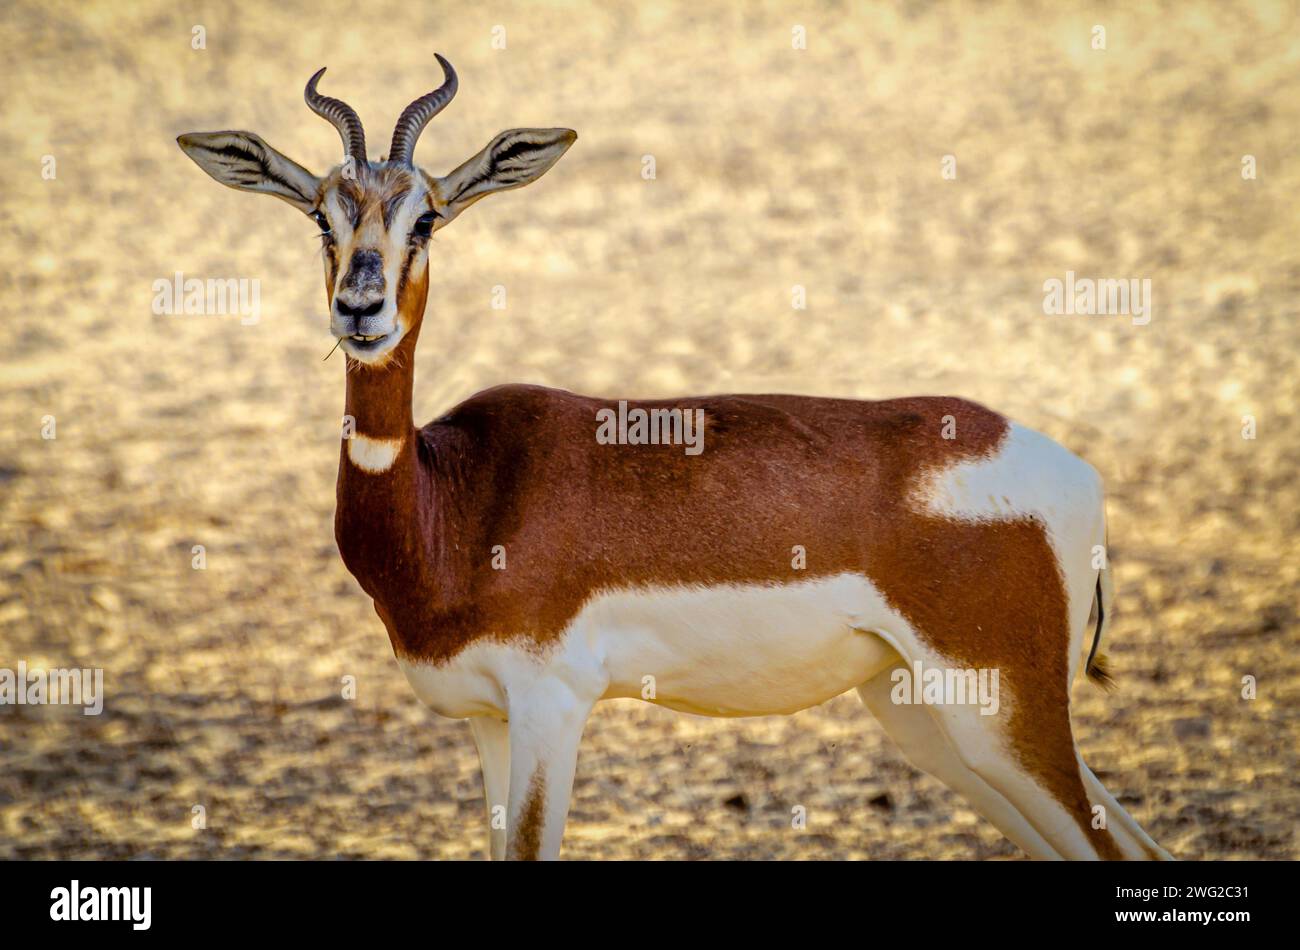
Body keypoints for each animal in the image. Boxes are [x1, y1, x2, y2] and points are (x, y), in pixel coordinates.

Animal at [178, 55, 1172, 861]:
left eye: (426, 220)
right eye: (321, 218)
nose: (361, 310)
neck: (451, 497)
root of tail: (1077, 477)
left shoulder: (551, 707)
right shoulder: (490, 721)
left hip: (1000, 713)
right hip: (931, 721)